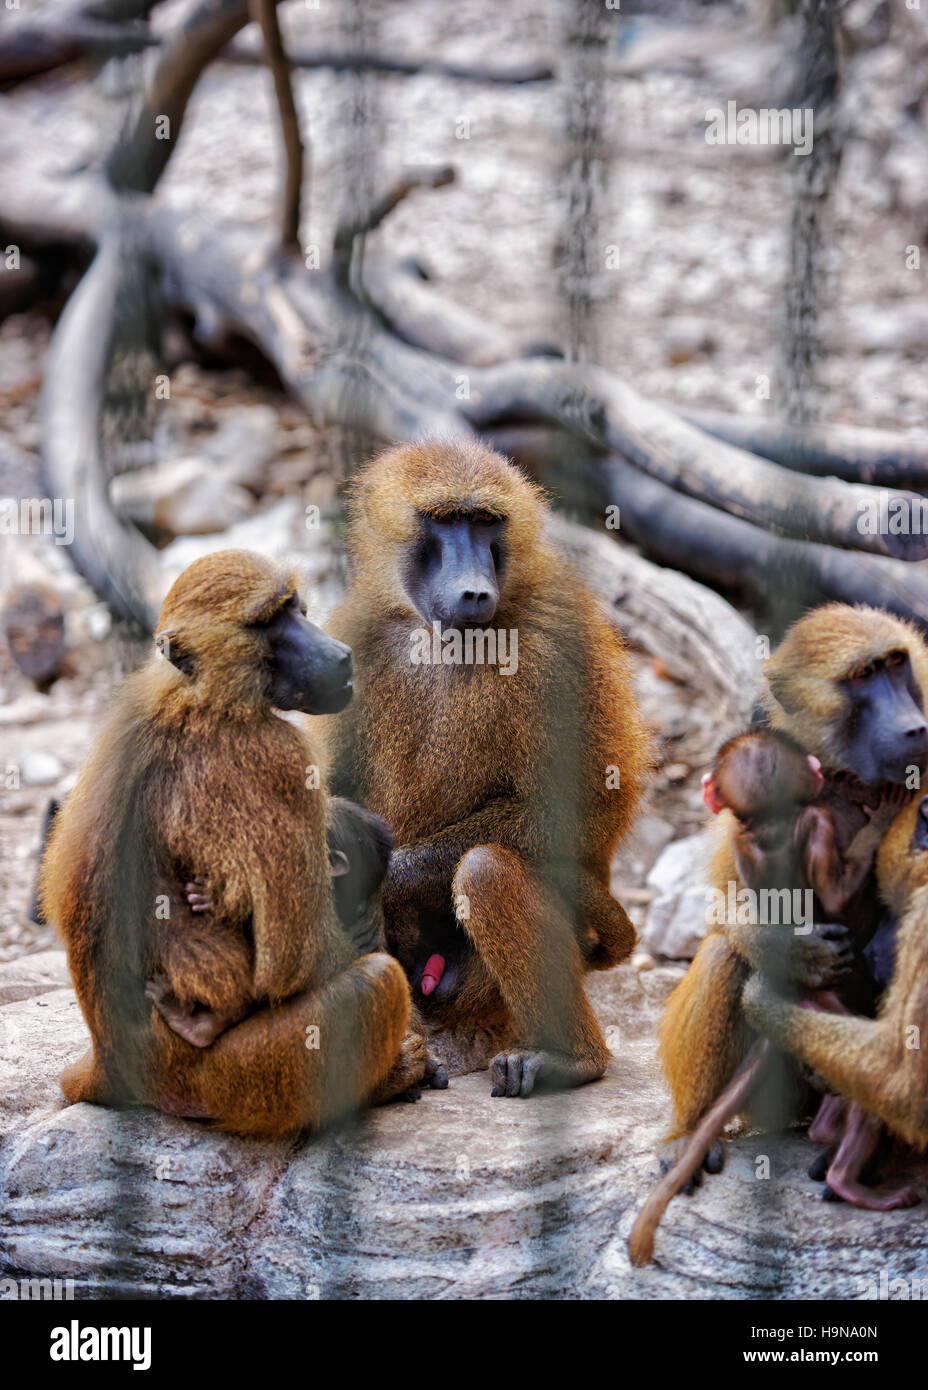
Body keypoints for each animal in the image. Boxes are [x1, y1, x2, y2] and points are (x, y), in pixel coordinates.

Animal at [39, 549, 425, 1137]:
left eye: (296, 609)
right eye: (268, 623)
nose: (341, 656)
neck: (202, 698)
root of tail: (111, 1067)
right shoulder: (276, 757)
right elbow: (292, 963)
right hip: (235, 1077)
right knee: (377, 981)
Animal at [318, 440, 648, 1097]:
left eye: (485, 522)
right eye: (446, 520)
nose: (474, 592)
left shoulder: (556, 635)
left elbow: (586, 806)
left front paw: (385, 878)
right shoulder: (357, 634)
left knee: (485, 871)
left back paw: (571, 1060)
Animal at [657, 604, 928, 1180]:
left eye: (898, 663)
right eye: (863, 675)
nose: (914, 727)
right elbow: (724, 907)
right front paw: (793, 951)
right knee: (725, 955)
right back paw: (688, 1135)